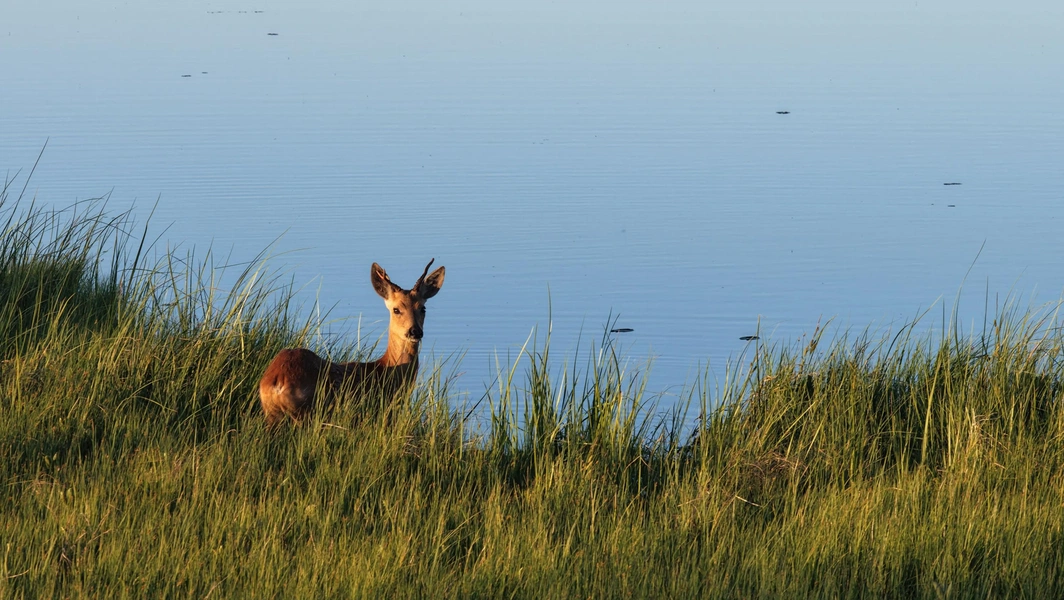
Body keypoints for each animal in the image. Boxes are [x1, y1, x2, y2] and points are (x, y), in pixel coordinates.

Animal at [259, 259, 445, 427]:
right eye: (396, 309)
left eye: (423, 308)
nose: (415, 331)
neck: (386, 370)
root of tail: (276, 380)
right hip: (305, 412)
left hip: (272, 415)